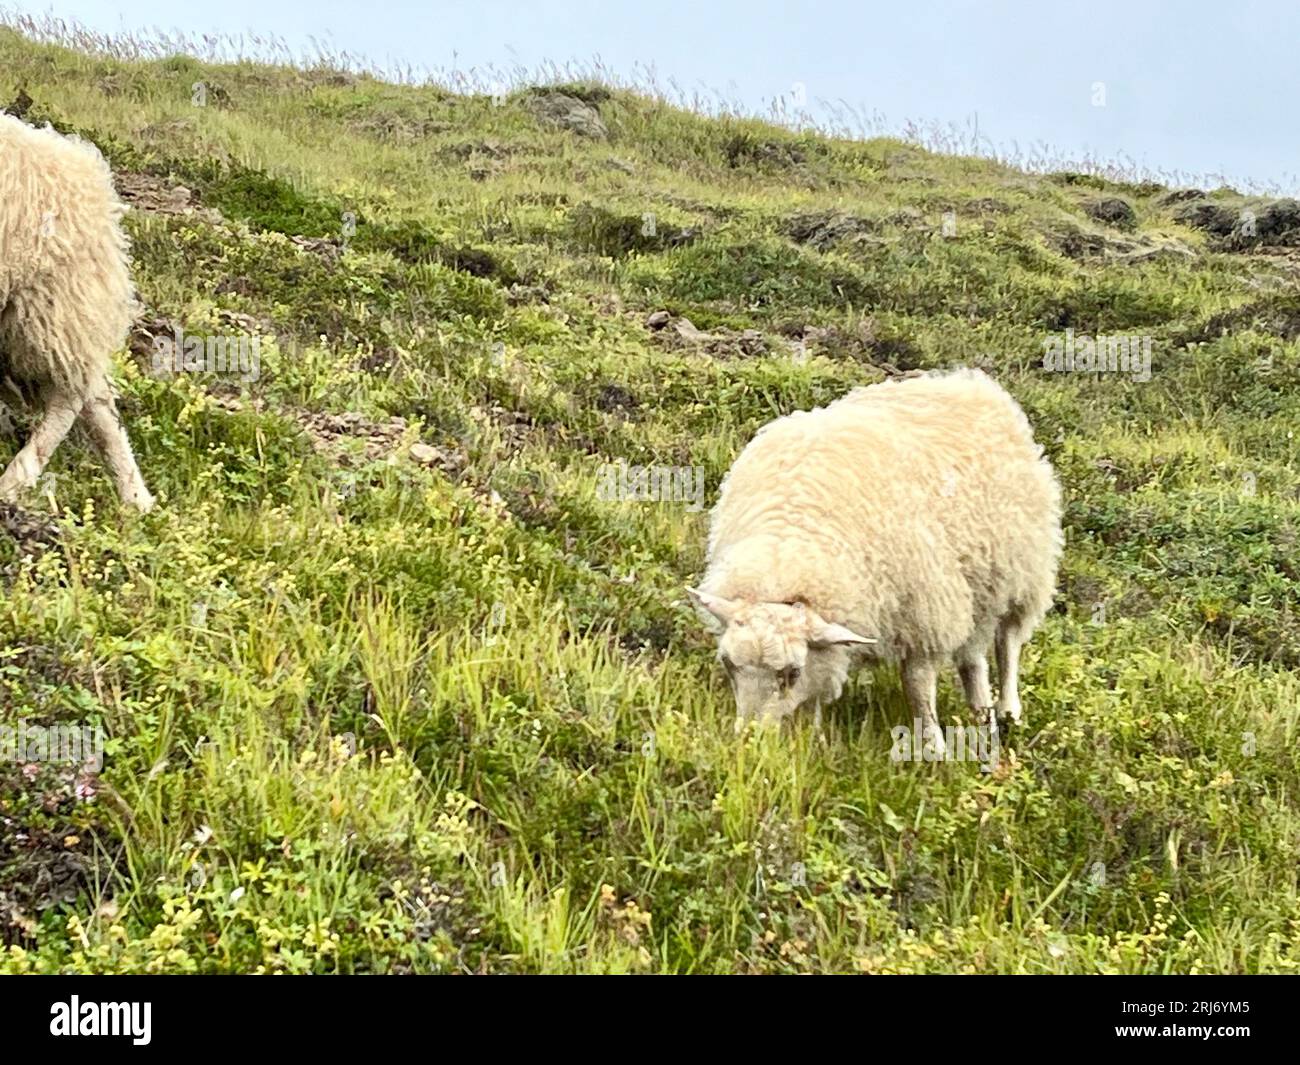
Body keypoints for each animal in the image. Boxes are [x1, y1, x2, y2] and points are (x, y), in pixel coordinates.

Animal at [689, 368, 1061, 754]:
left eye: (791, 673)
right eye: (729, 664)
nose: (746, 741)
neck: (789, 548)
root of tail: (966, 380)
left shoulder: (924, 614)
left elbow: (917, 685)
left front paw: (934, 747)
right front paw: (816, 735)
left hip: (1024, 568)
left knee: (1008, 641)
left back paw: (1007, 710)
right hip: (977, 582)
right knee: (972, 656)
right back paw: (980, 712)